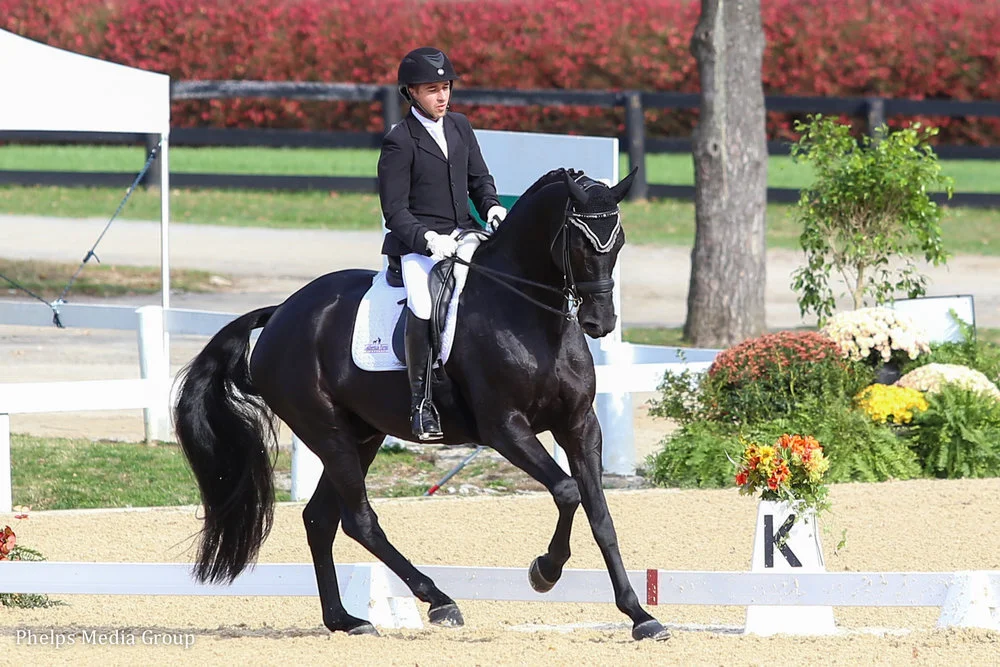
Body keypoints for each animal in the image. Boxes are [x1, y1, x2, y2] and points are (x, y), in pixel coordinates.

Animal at [173, 165, 670, 642]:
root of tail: (280, 313)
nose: (600, 322)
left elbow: (600, 515)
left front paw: (640, 616)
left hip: (362, 435)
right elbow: (567, 492)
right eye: (579, 242)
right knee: (359, 520)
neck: (530, 316)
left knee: (320, 519)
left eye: (618, 241)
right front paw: (544, 572)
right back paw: (438, 601)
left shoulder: (580, 425)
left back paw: (346, 620)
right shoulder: (505, 428)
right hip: (327, 431)